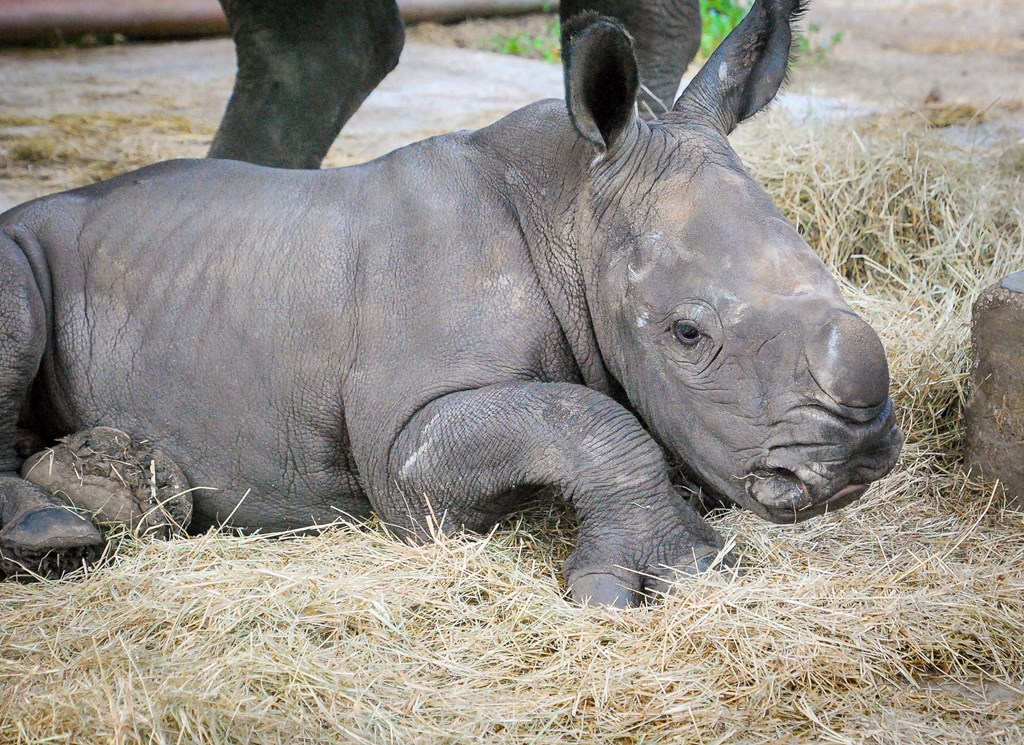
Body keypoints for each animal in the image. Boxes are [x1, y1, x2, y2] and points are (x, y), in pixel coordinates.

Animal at [0, 1, 902, 606]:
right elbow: (587, 420)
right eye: (687, 333)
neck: (572, 206)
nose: (859, 455)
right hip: (18, 247)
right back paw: (56, 533)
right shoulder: (406, 446)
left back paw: (116, 489)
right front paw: (670, 572)